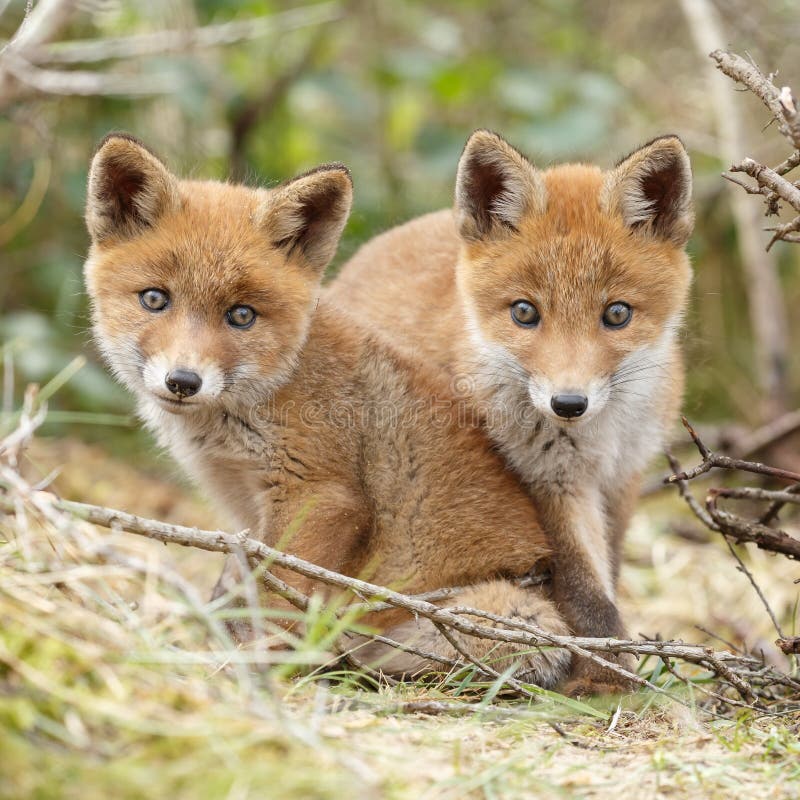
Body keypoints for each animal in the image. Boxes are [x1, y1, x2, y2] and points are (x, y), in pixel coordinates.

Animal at [82, 133, 574, 687]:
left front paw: (260, 669)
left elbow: (278, 598)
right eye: (154, 299)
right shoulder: (251, 513)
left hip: (504, 616)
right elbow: (238, 586)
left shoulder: (321, 494)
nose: (183, 381)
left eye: (241, 316)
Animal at [329, 130, 694, 694]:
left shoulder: (622, 477)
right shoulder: (548, 479)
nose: (568, 403)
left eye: (617, 314)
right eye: (525, 312)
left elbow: (609, 572)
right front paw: (606, 679)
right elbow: (588, 597)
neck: (600, 436)